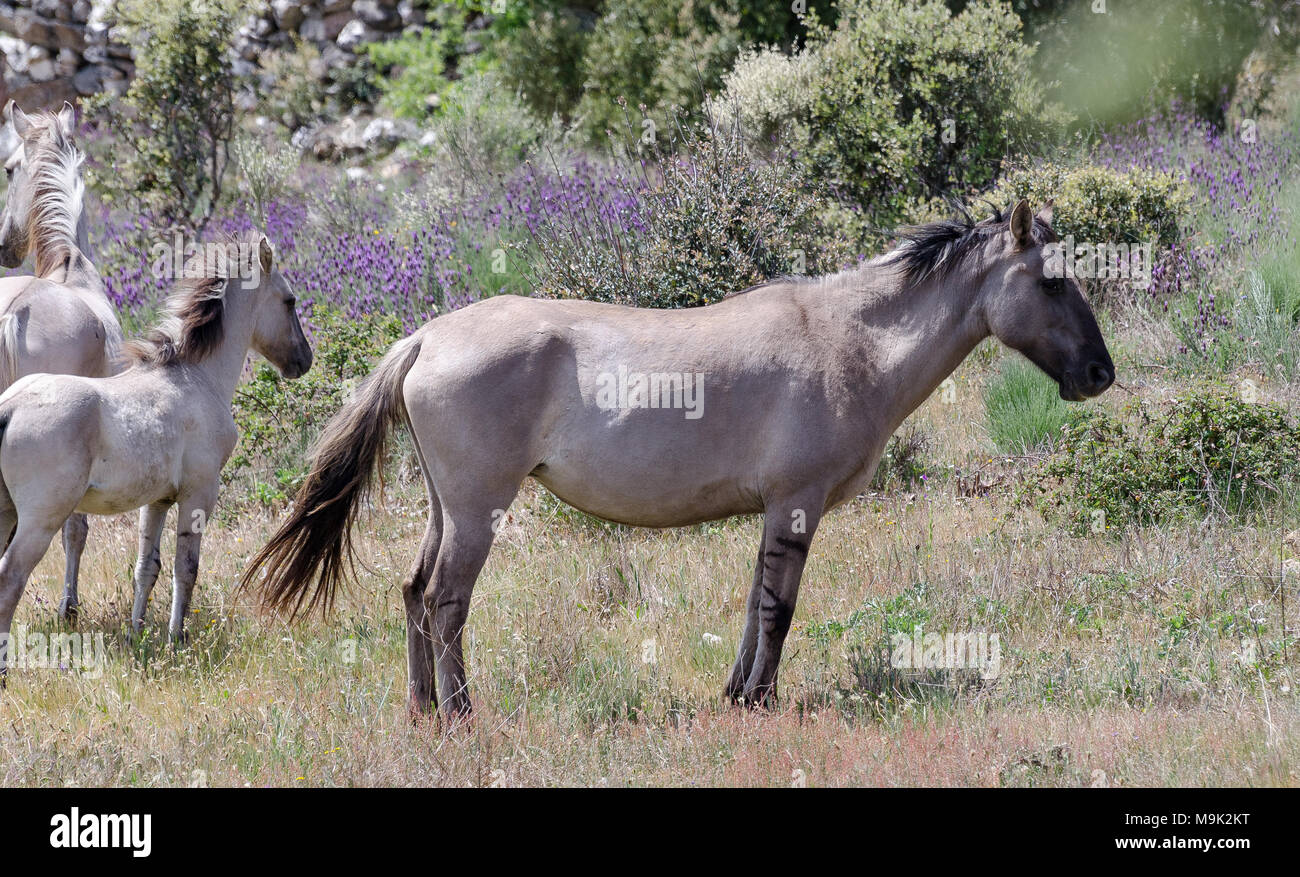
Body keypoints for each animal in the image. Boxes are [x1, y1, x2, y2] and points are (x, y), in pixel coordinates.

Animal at [0, 232, 312, 674]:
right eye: (289, 301)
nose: (304, 360)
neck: (195, 377)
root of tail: (10, 407)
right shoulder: (199, 493)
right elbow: (186, 568)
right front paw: (177, 638)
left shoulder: (158, 500)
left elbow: (146, 568)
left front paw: (137, 634)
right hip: (39, 520)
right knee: (11, 579)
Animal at [244, 199, 1114, 720]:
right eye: (1053, 280)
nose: (1100, 372)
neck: (850, 340)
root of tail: (426, 337)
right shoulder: (795, 503)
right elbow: (779, 609)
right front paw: (761, 699)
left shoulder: (773, 513)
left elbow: (755, 603)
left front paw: (736, 694)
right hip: (476, 511)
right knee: (444, 600)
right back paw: (460, 714)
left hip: (443, 507)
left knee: (413, 591)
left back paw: (423, 709)